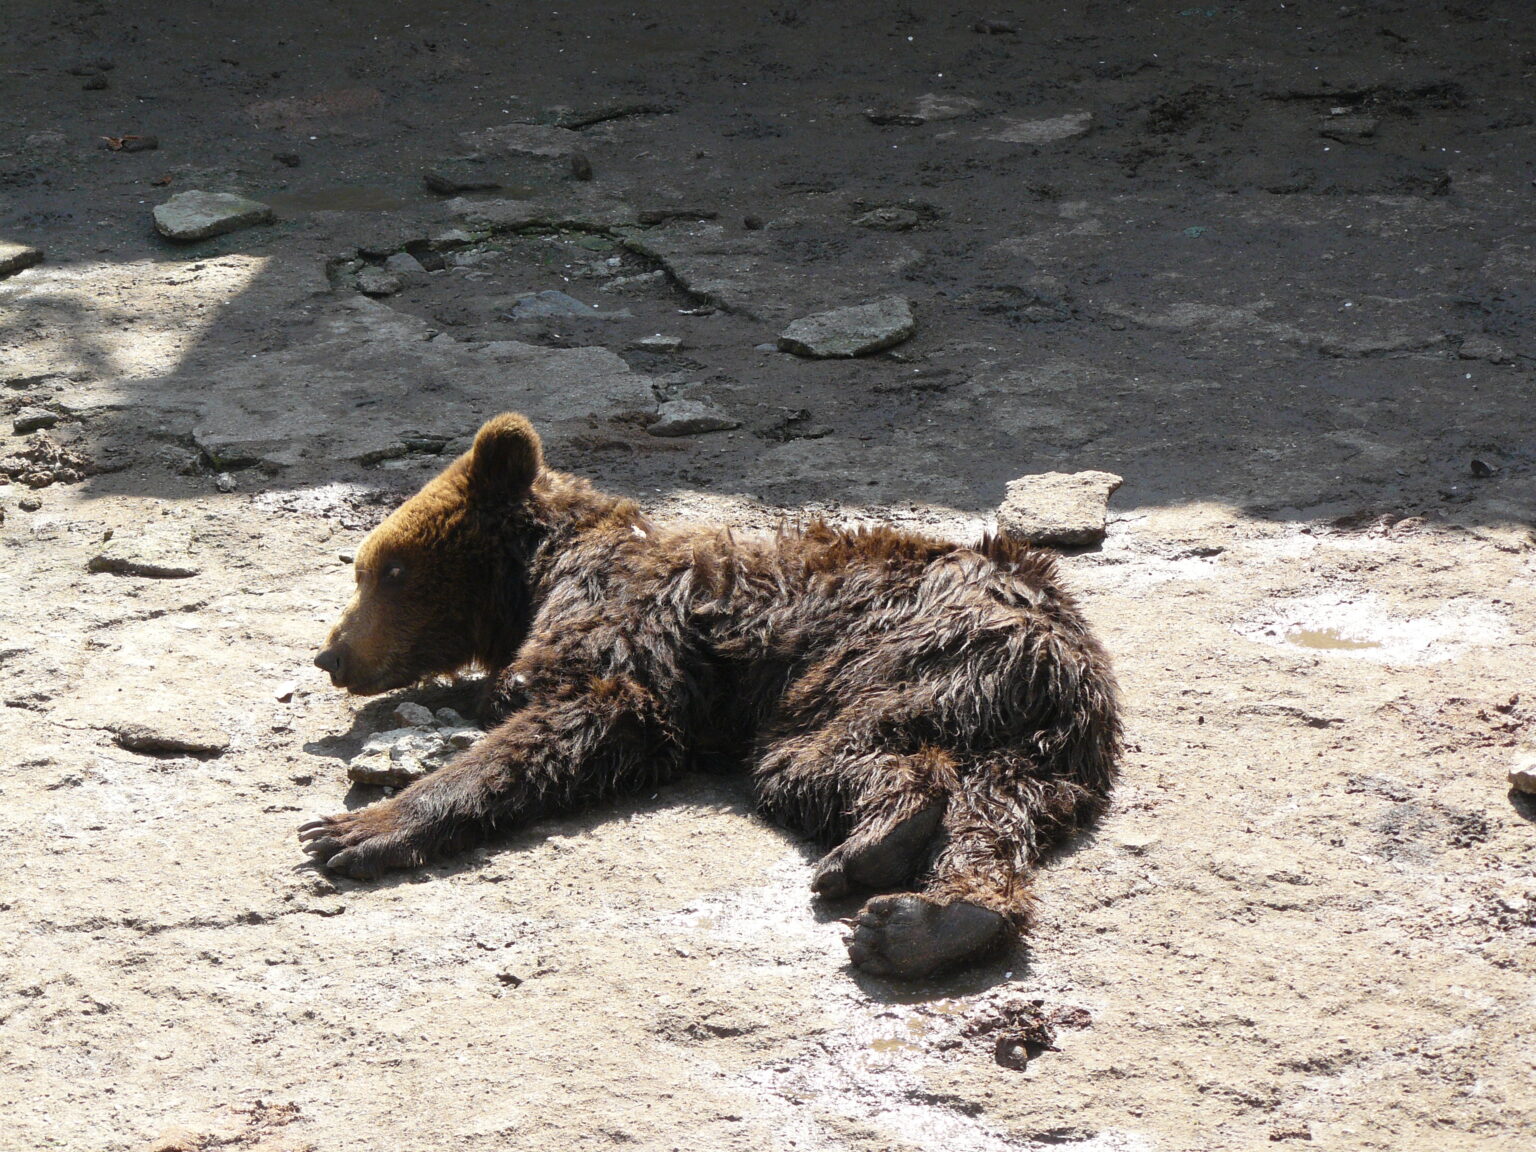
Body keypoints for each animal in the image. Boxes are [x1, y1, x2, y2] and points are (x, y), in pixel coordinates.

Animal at [302, 413, 1120, 979]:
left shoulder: (629, 630)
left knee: (830, 759)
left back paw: (884, 849)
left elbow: (589, 717)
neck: (539, 578)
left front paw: (354, 828)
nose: (332, 653)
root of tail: (1058, 645)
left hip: (895, 661)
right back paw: (936, 923)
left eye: (388, 570)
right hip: (1038, 746)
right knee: (993, 815)